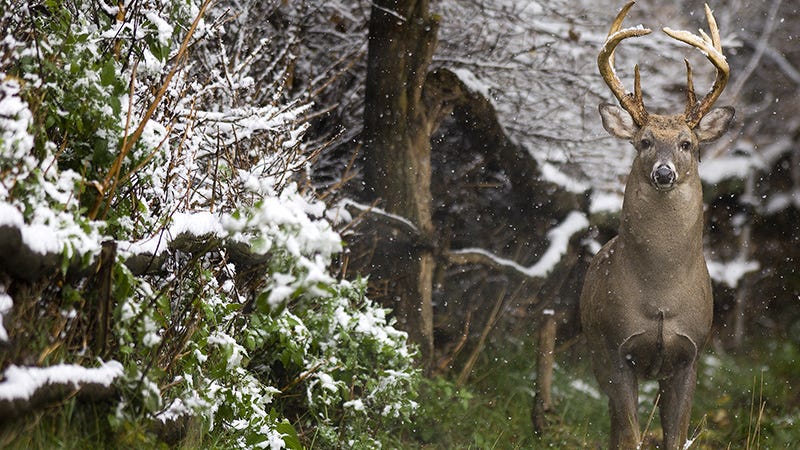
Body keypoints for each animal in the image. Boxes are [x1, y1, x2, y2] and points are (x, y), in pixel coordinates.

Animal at [580, 2, 734, 449]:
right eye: (644, 142)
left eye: (688, 143)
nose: (664, 172)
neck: (661, 296)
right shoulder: (617, 351)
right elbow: (629, 435)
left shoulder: (691, 354)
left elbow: (676, 437)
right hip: (594, 354)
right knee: (615, 428)